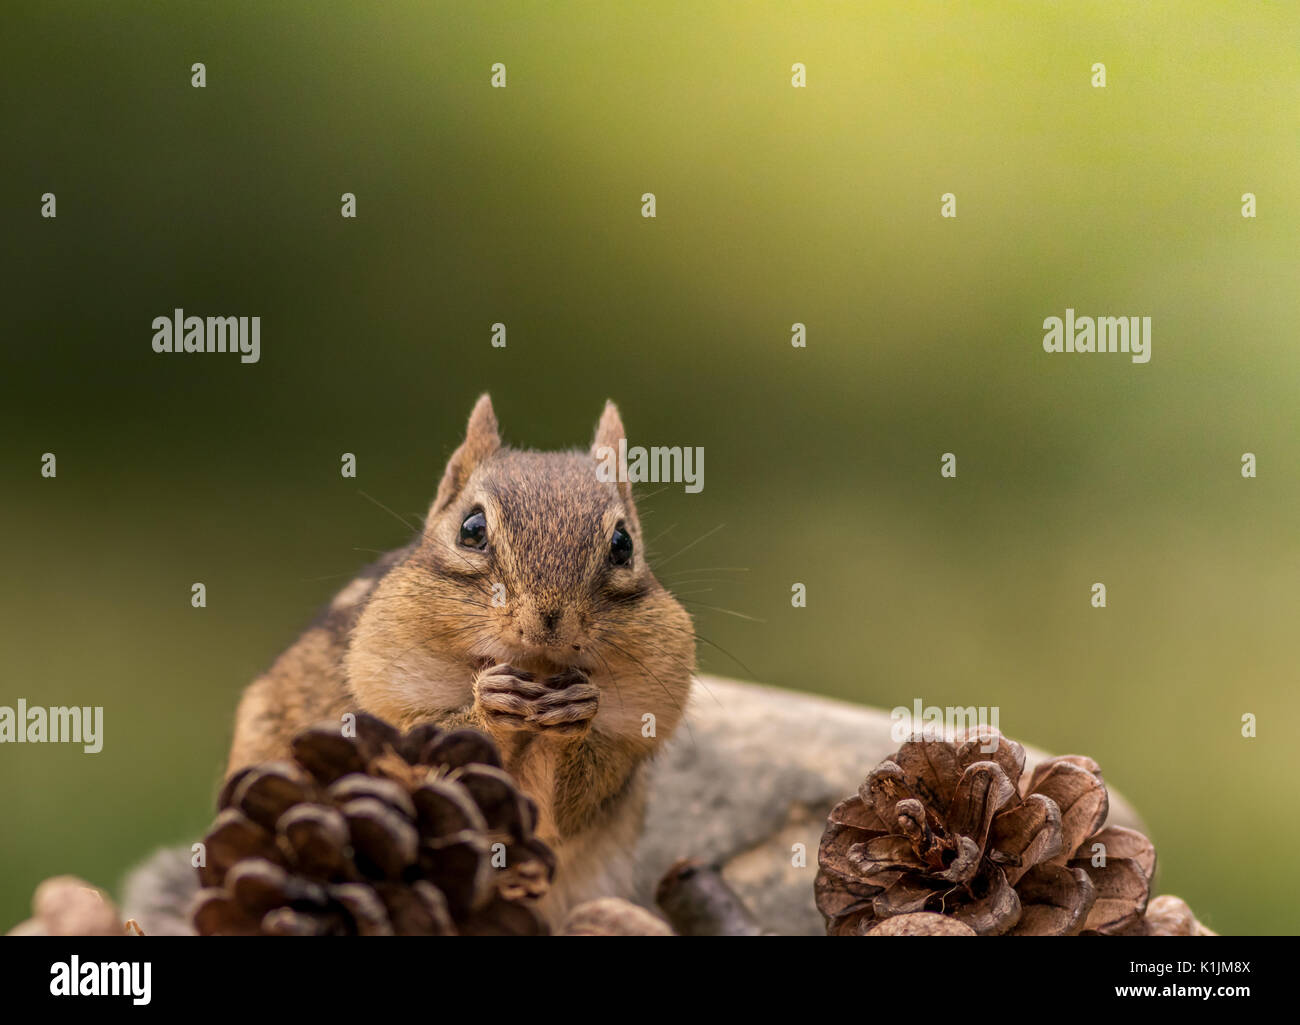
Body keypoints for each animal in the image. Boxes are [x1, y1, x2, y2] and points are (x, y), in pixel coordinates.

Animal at [226, 394, 696, 924]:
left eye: (623, 544)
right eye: (472, 529)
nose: (547, 623)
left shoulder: (624, 747)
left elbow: (576, 799)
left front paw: (577, 711)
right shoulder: (389, 712)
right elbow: (435, 750)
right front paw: (490, 701)